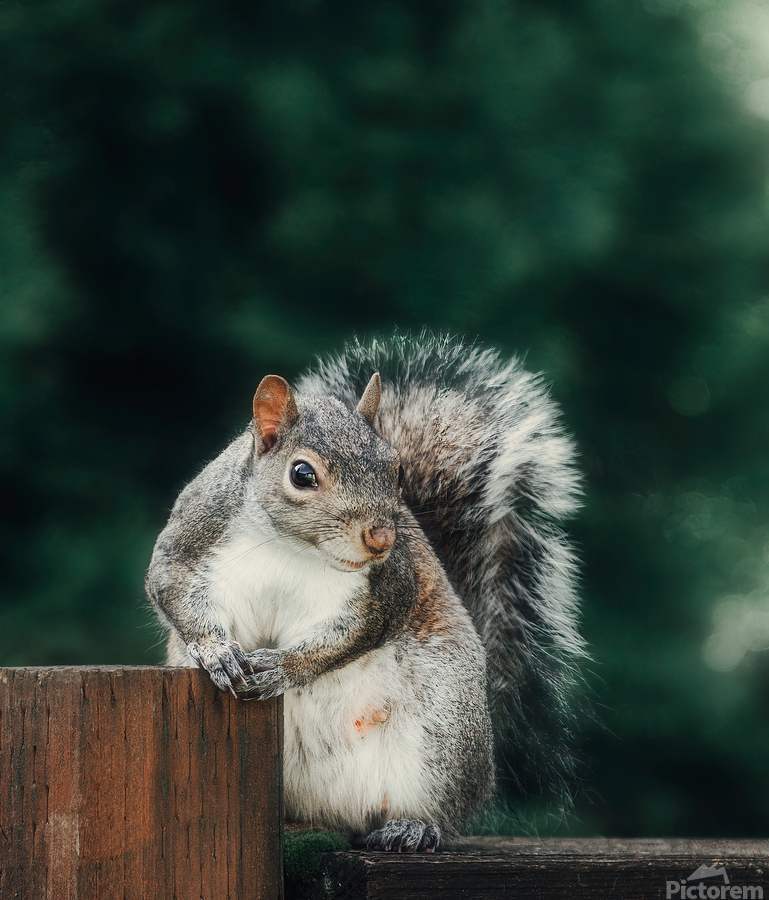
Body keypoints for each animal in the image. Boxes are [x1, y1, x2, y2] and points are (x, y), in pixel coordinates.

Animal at [145, 332, 584, 852]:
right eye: (302, 474)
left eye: (396, 471)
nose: (382, 537)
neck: (292, 547)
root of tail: (340, 814)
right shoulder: (191, 536)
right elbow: (168, 586)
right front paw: (215, 652)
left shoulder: (391, 585)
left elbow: (360, 631)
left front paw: (285, 667)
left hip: (446, 728)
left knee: (445, 810)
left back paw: (414, 826)